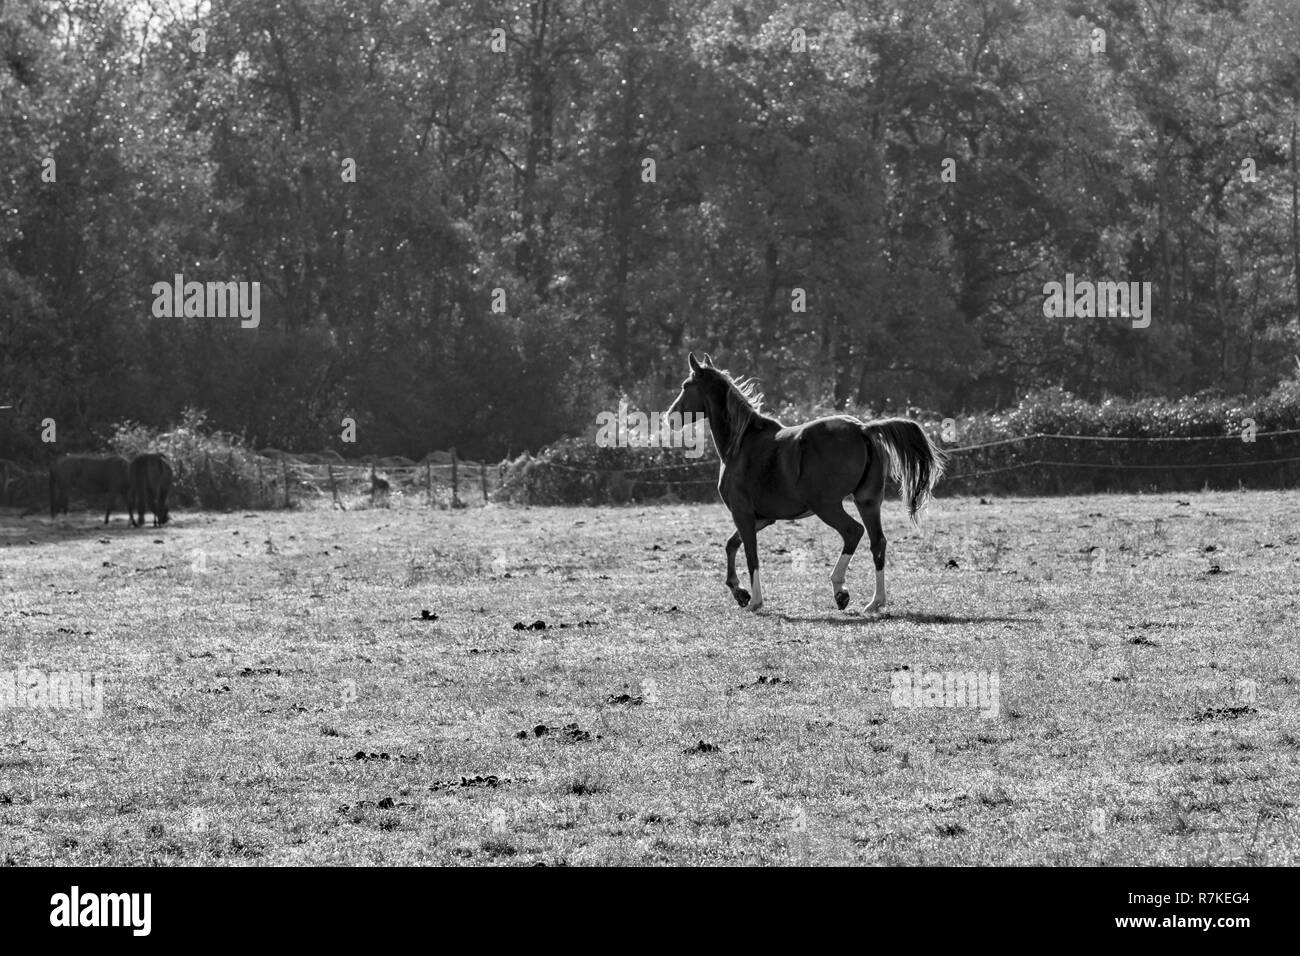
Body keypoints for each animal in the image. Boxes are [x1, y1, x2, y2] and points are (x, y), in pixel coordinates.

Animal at [665, 352, 945, 613]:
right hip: (868, 501)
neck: (741, 443)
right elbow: (731, 544)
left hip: (827, 505)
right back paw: (875, 601)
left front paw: (754, 600)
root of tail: (863, 429)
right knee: (878, 543)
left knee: (853, 532)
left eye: (685, 386)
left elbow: (750, 555)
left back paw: (840, 589)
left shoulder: (743, 513)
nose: (670, 417)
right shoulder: (763, 518)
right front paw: (739, 592)